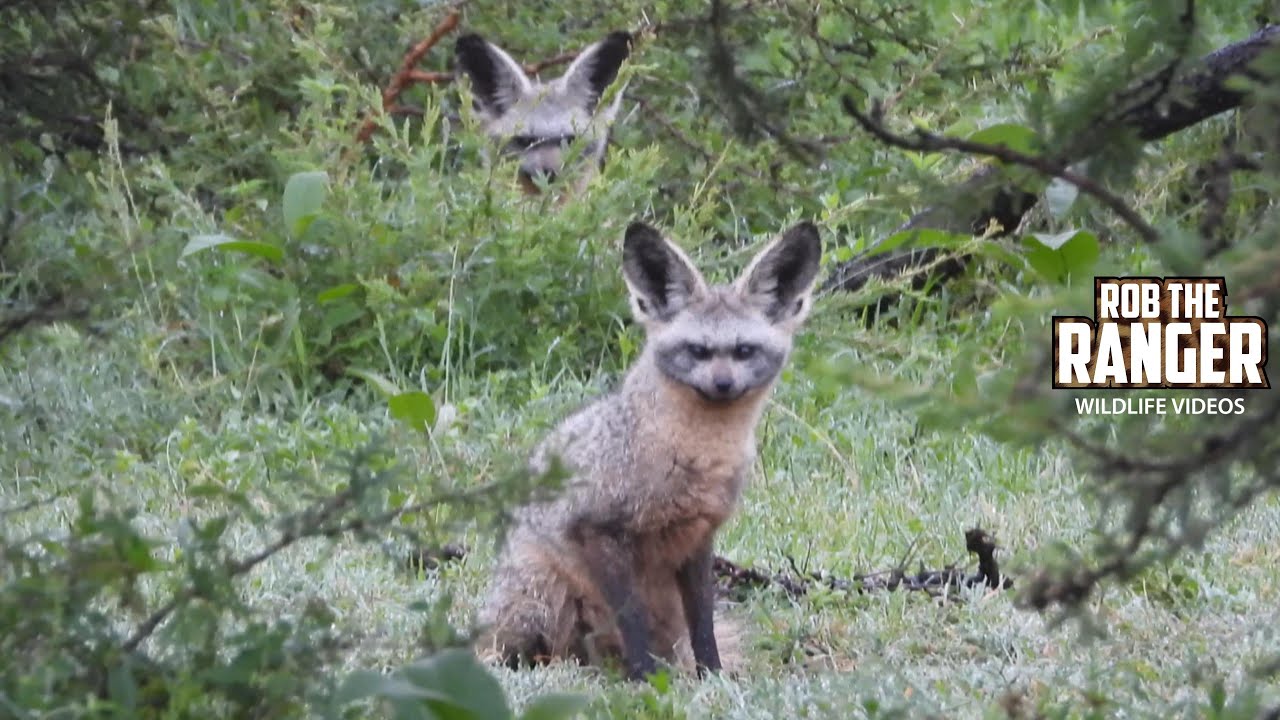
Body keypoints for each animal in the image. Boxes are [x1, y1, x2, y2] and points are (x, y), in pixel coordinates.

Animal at [476, 220, 823, 680]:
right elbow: (631, 619)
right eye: (697, 350)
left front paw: (711, 674)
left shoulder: (699, 538)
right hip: (542, 599)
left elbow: (703, 622)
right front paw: (643, 680)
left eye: (744, 351)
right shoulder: (599, 529)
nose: (723, 385)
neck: (693, 455)